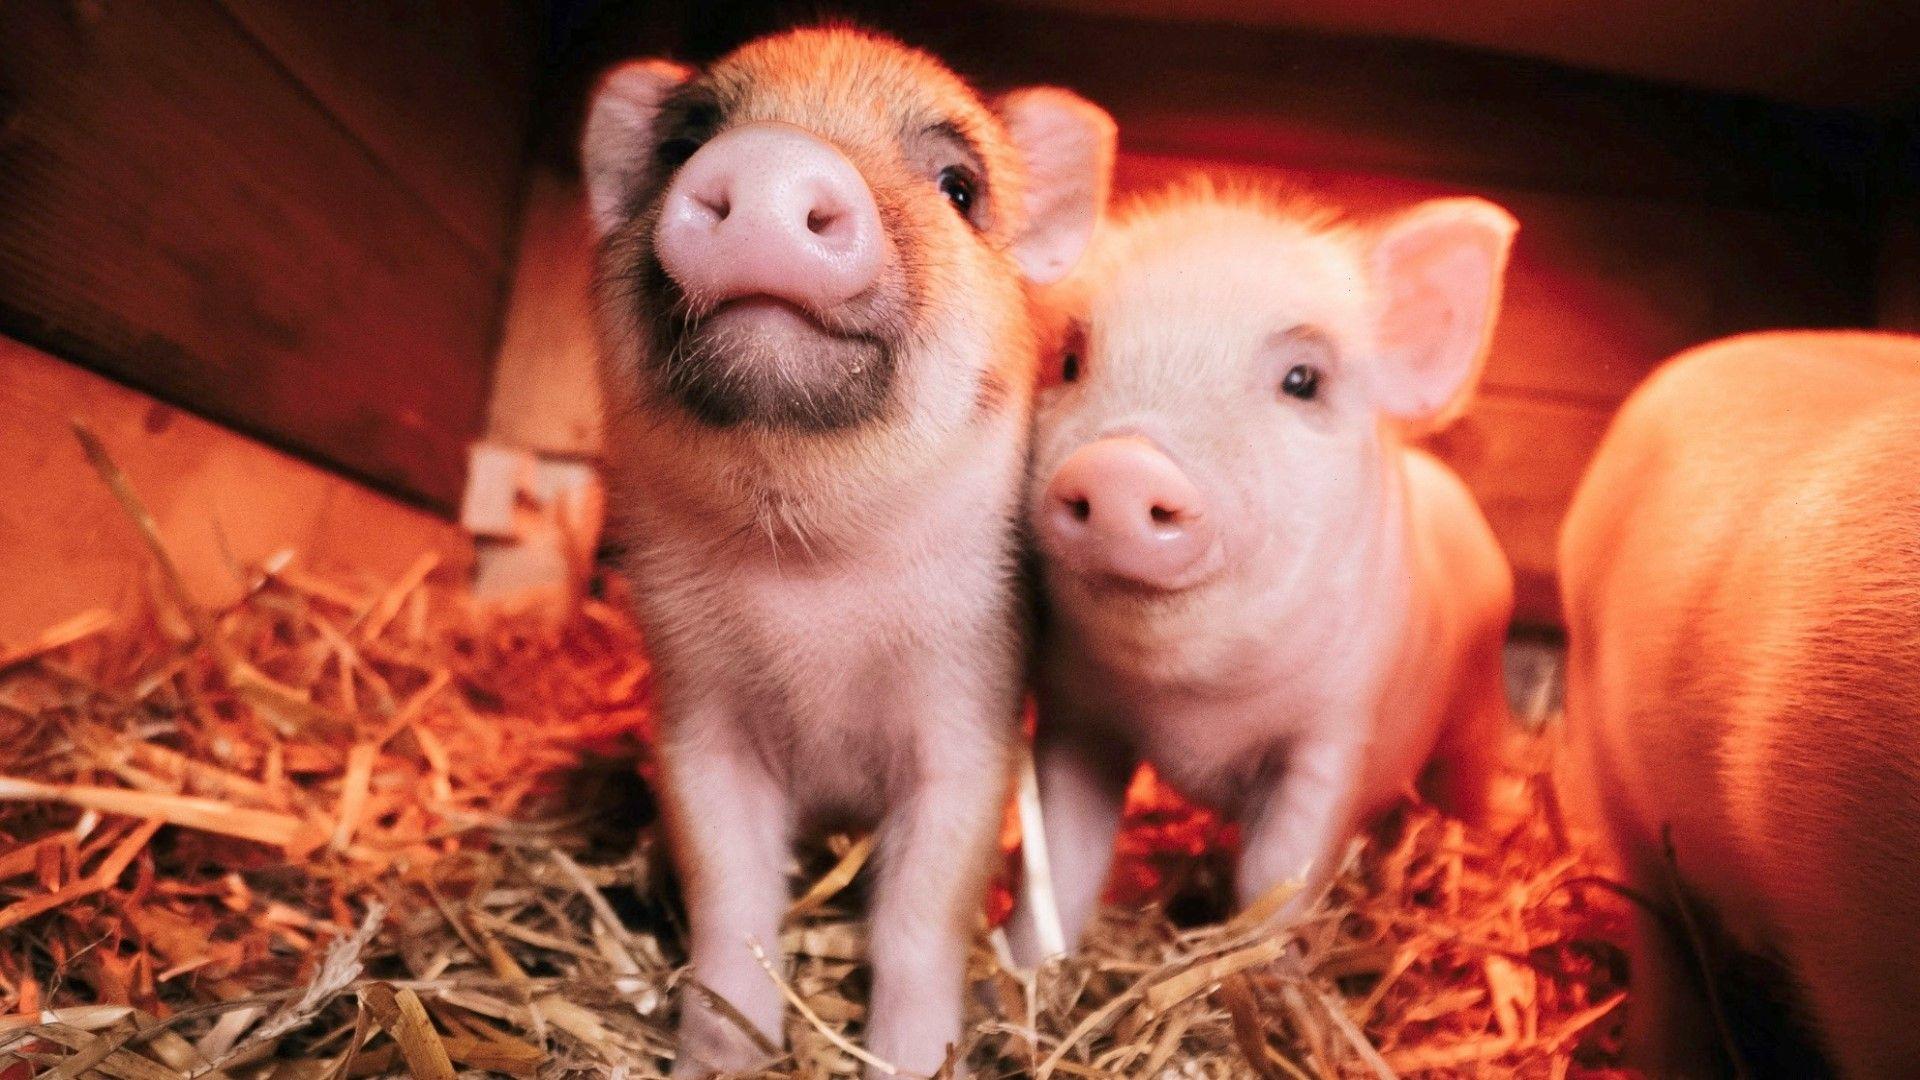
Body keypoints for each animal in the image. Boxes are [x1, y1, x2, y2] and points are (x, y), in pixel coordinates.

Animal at [578, 26, 1115, 1078]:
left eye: (959, 186)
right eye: (683, 144)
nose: (770, 159)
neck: (809, 570)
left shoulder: (971, 728)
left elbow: (918, 924)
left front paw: (913, 1057)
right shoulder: (699, 725)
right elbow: (731, 910)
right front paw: (720, 1059)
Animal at [1003, 180, 1520, 966]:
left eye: (1302, 381)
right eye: (1069, 361)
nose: (1123, 466)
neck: (1193, 708)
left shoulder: (1338, 728)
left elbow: (1278, 868)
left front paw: (1265, 963)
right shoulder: (1074, 711)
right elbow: (1061, 857)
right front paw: (1018, 962)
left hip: (1480, 692)